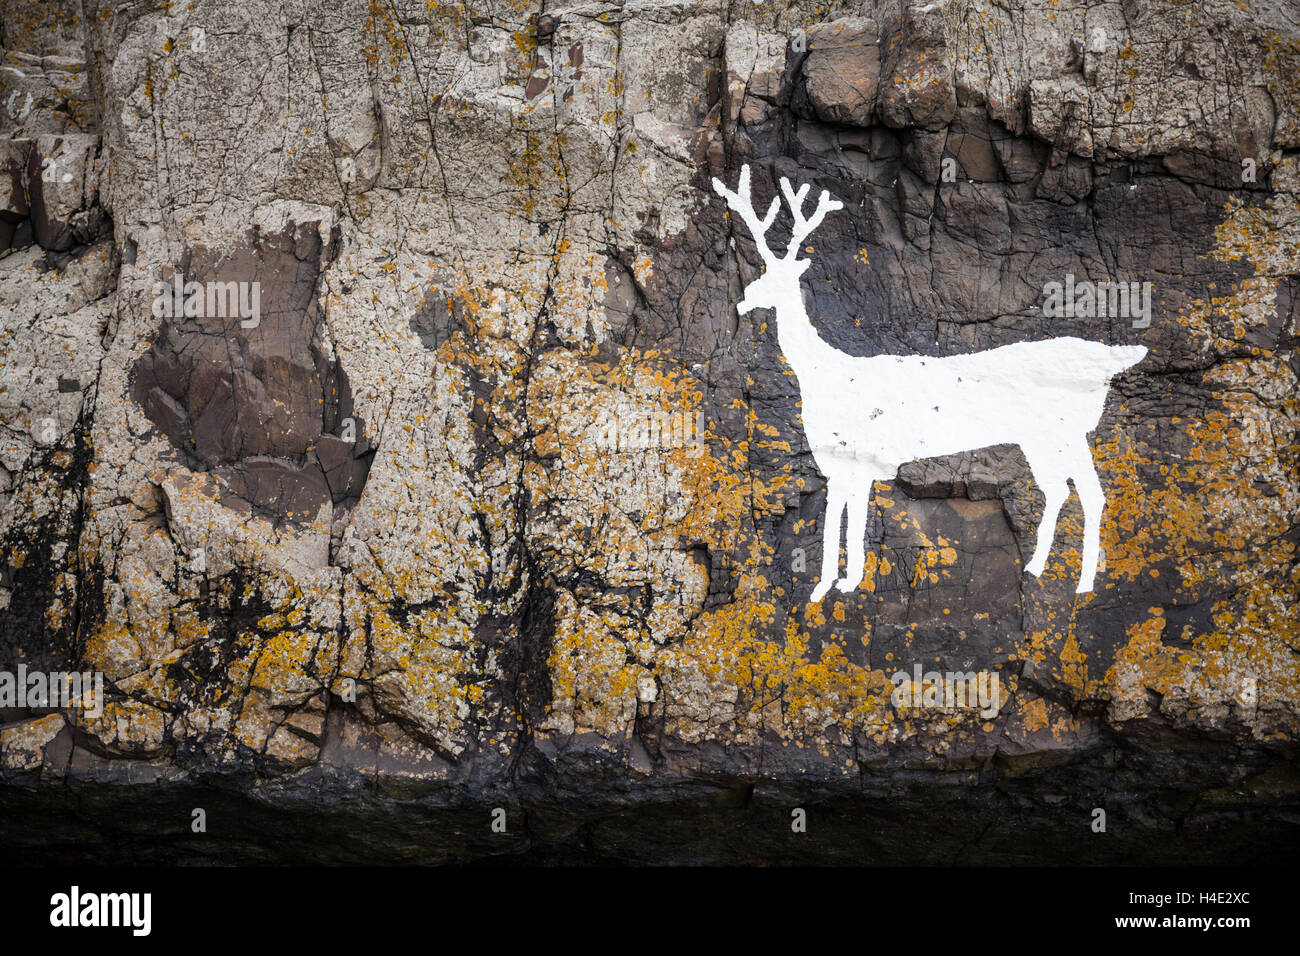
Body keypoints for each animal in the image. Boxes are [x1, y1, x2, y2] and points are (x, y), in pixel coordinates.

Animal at [712, 165, 1146, 603]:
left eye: (775, 278)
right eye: (762, 272)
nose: (742, 300)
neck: (822, 374)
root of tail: (1111, 362)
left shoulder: (861, 455)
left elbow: (853, 519)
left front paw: (844, 582)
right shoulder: (835, 462)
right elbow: (838, 516)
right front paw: (826, 585)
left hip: (1065, 431)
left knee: (1090, 493)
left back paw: (1083, 582)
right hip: (1040, 438)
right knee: (1061, 490)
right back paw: (1038, 567)